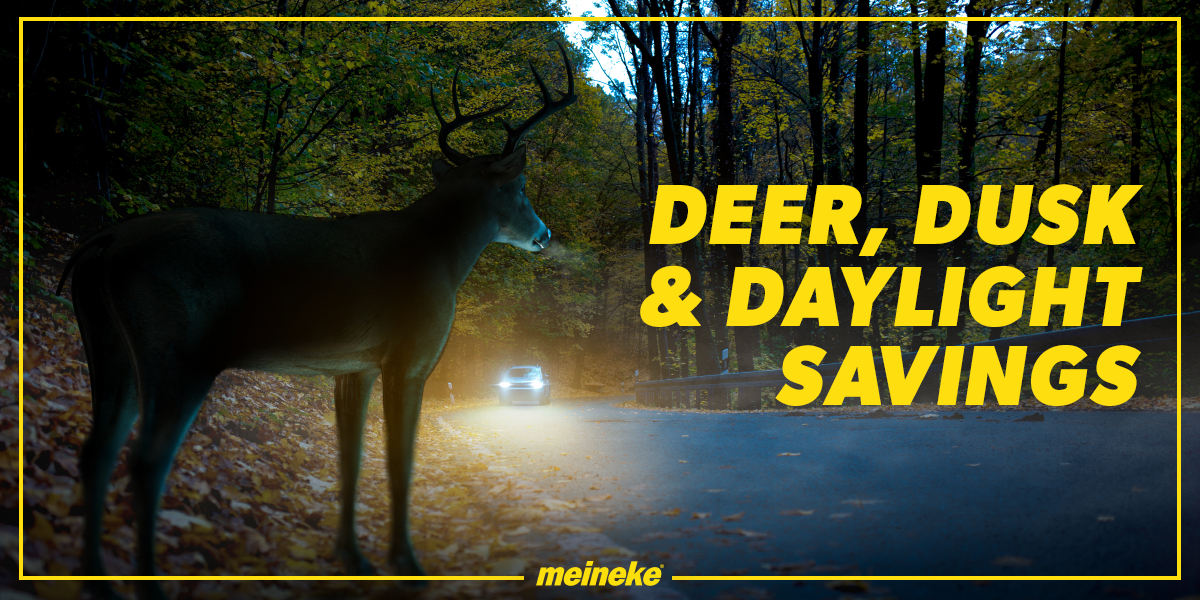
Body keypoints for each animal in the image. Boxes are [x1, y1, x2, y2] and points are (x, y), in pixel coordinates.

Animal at [56, 43, 576, 600]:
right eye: (520, 187)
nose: (545, 235)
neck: (442, 256)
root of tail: (105, 241)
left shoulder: (354, 365)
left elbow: (351, 457)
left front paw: (353, 558)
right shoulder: (410, 355)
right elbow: (399, 459)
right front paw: (406, 563)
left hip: (109, 345)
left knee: (97, 451)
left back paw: (98, 581)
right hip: (179, 351)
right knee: (146, 462)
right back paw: (147, 587)